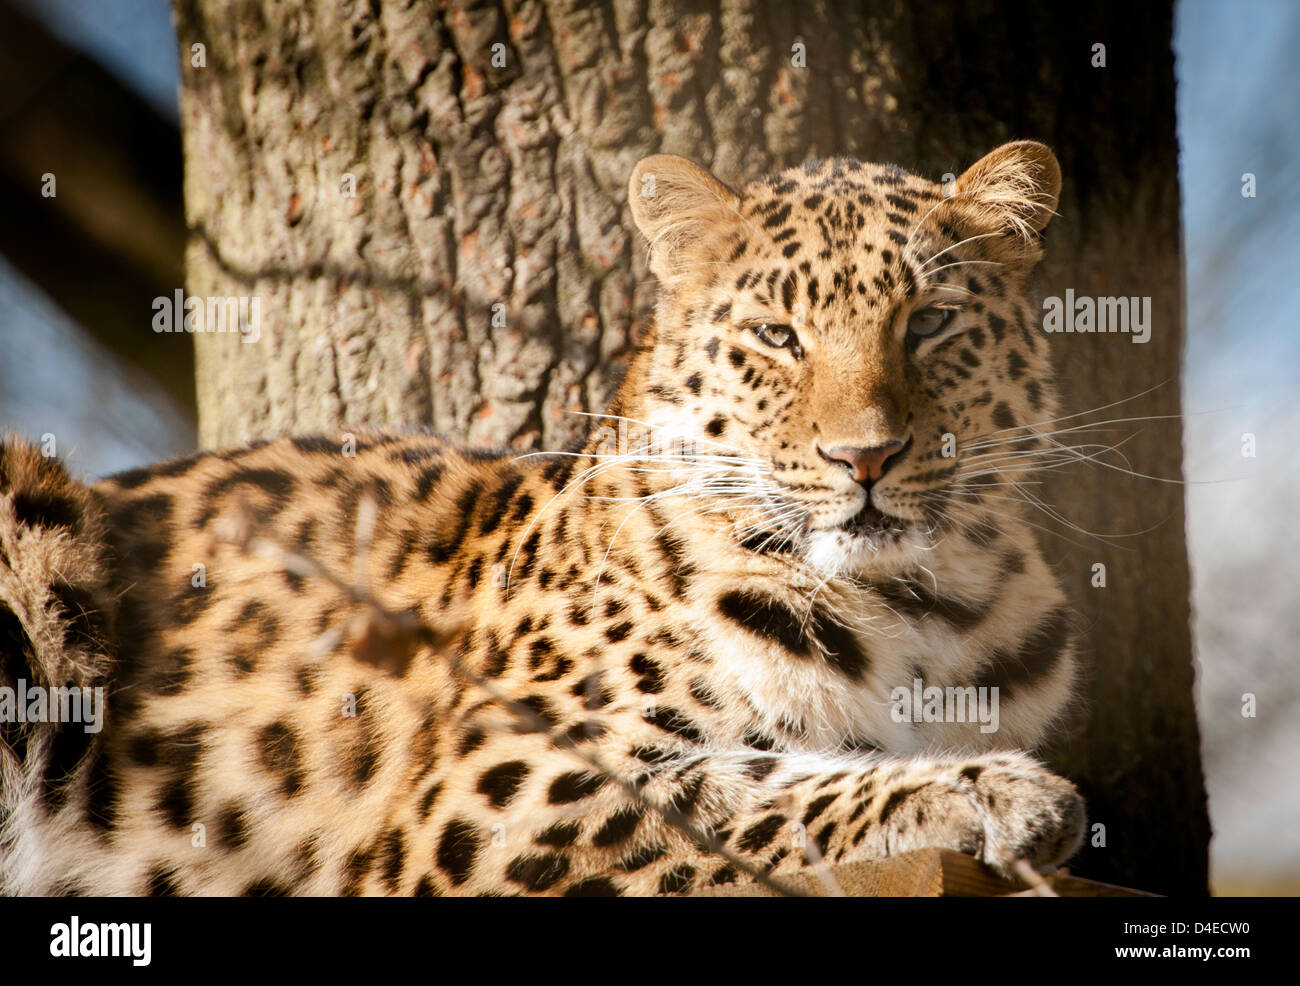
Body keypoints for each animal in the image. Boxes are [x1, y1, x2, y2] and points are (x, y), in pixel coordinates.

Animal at [0, 140, 1086, 896]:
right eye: (777, 335)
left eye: (930, 323)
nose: (865, 457)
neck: (917, 608)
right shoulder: (502, 776)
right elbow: (752, 785)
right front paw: (994, 791)